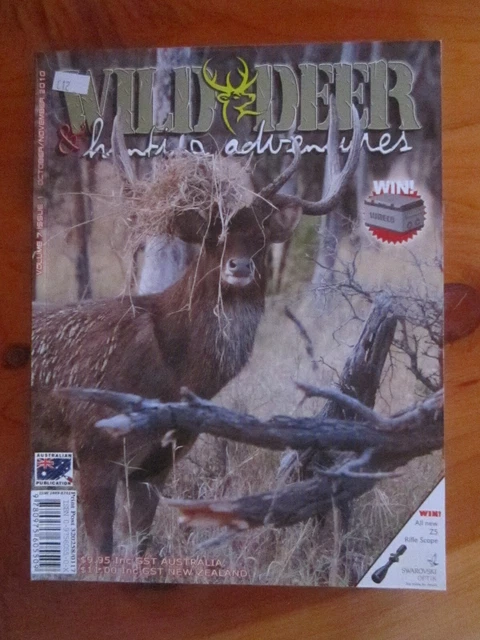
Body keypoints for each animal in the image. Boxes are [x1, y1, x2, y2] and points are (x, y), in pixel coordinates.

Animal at [31, 106, 361, 557]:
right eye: (212, 236)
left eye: (261, 236)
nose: (239, 266)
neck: (174, 373)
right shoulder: (92, 447)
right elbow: (102, 550)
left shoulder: (157, 463)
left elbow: (142, 546)